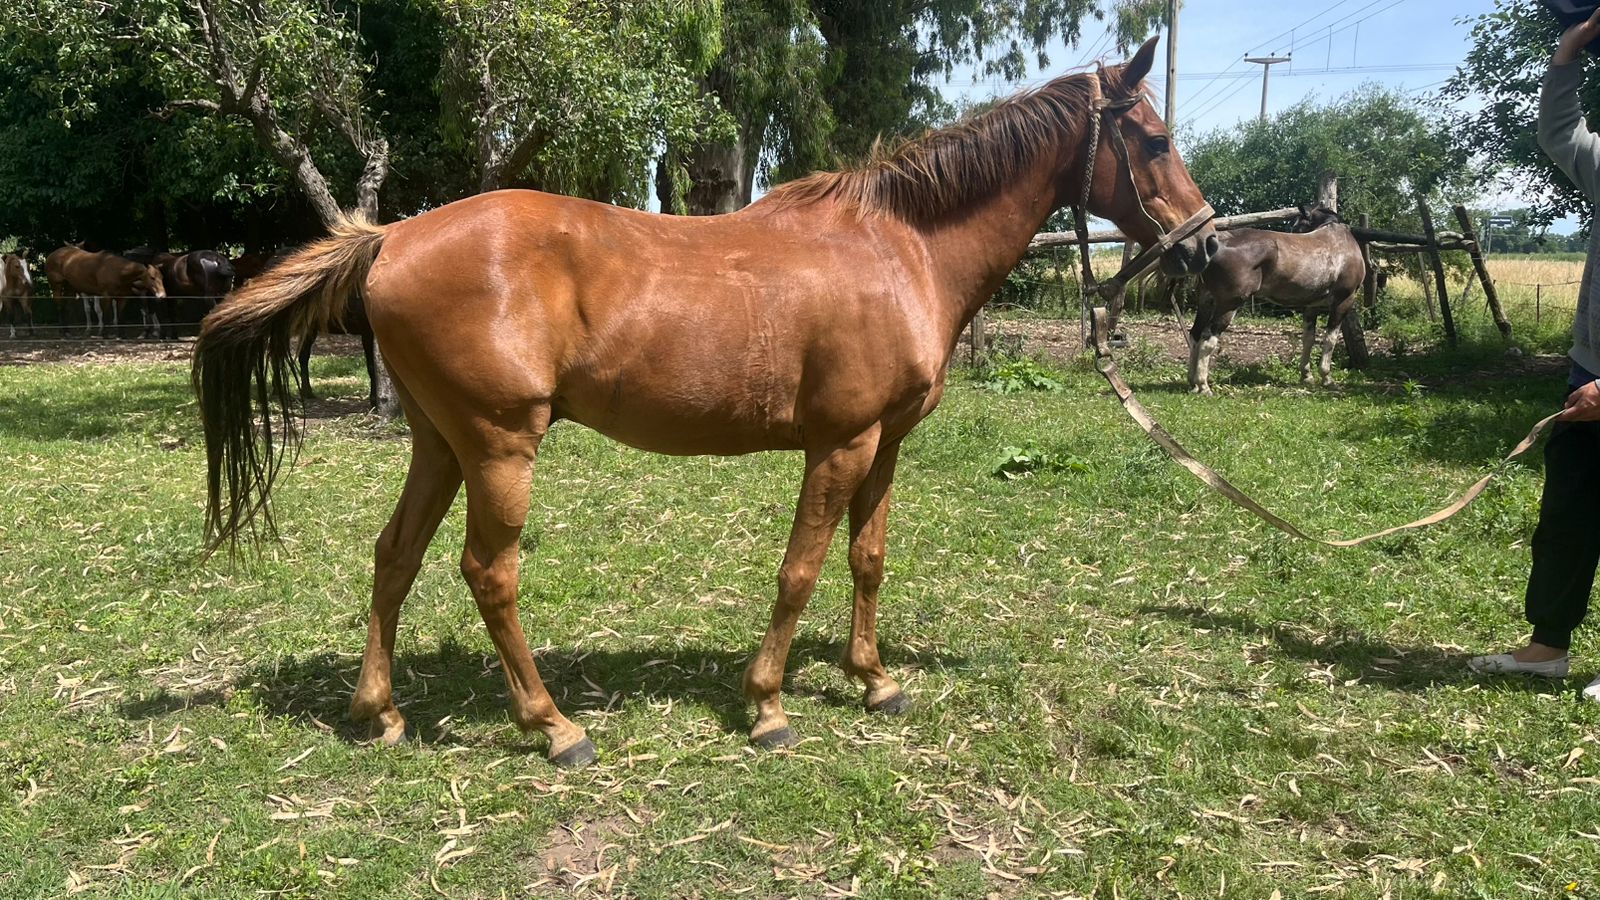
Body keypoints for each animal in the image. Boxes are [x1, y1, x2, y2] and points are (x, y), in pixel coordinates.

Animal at [193, 37, 1217, 768]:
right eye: (1154, 141)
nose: (1205, 245)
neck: (898, 249)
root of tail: (392, 238)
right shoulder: (840, 444)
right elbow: (800, 570)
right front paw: (766, 705)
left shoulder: (884, 446)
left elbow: (868, 559)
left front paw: (874, 680)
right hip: (497, 448)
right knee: (488, 574)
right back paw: (553, 727)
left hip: (440, 445)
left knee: (394, 556)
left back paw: (381, 713)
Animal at [1185, 202, 1365, 395]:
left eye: (1299, 227)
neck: (1339, 242)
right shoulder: (1344, 301)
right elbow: (1330, 339)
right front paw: (1327, 378)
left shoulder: (1312, 305)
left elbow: (1308, 338)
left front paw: (1306, 376)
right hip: (1228, 304)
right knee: (1207, 340)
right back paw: (1203, 386)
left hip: (1207, 301)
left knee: (1195, 334)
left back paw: (1193, 383)